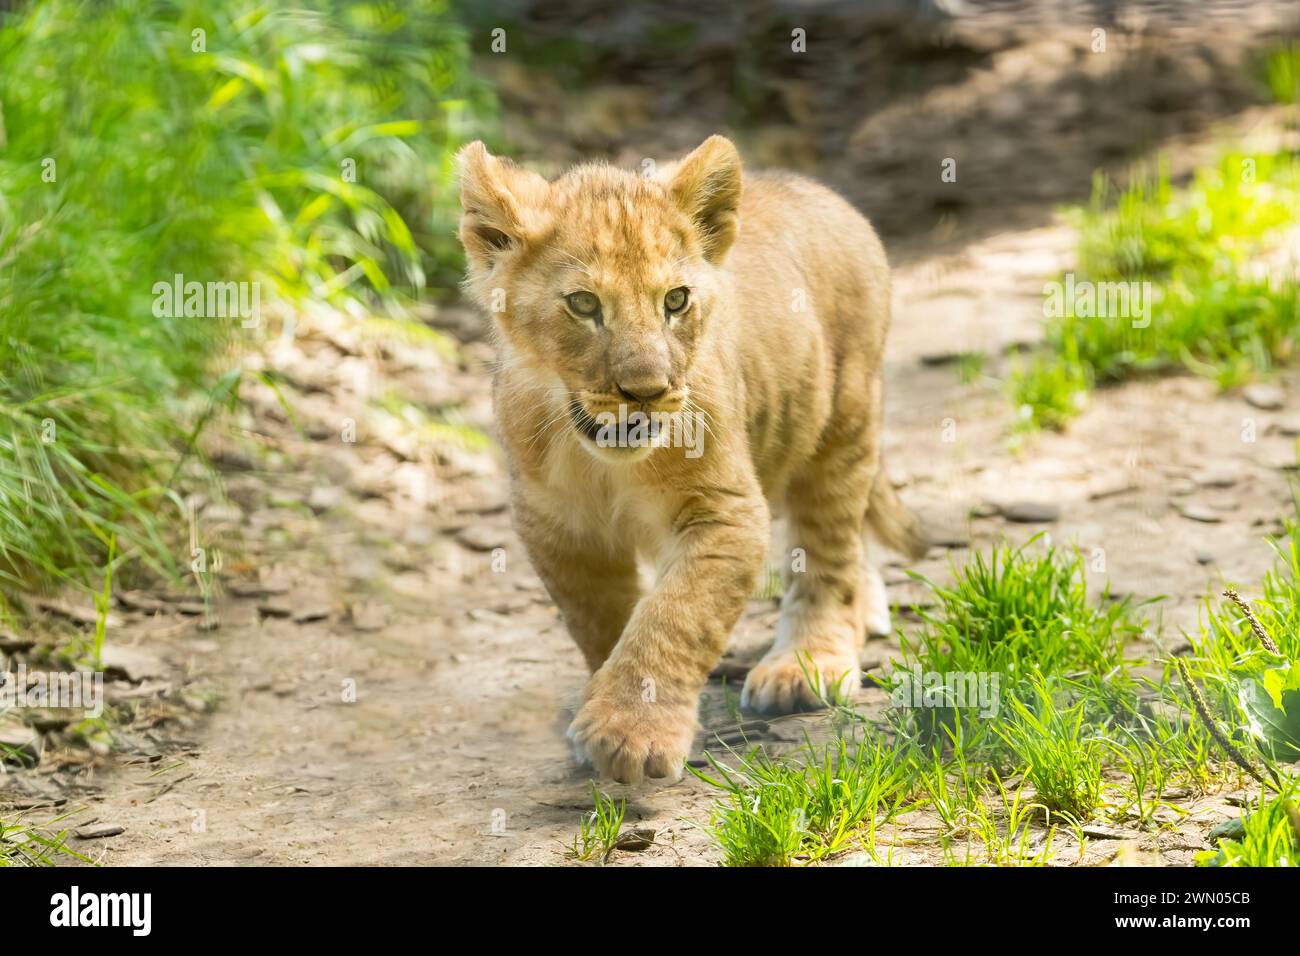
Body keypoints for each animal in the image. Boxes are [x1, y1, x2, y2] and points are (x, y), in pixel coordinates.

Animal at [457, 135, 927, 784]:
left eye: (675, 300)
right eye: (583, 304)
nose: (647, 391)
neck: (603, 463)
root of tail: (819, 191)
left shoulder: (725, 509)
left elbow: (677, 615)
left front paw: (631, 731)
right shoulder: (555, 525)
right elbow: (600, 619)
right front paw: (601, 704)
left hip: (843, 418)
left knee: (828, 543)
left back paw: (807, 663)